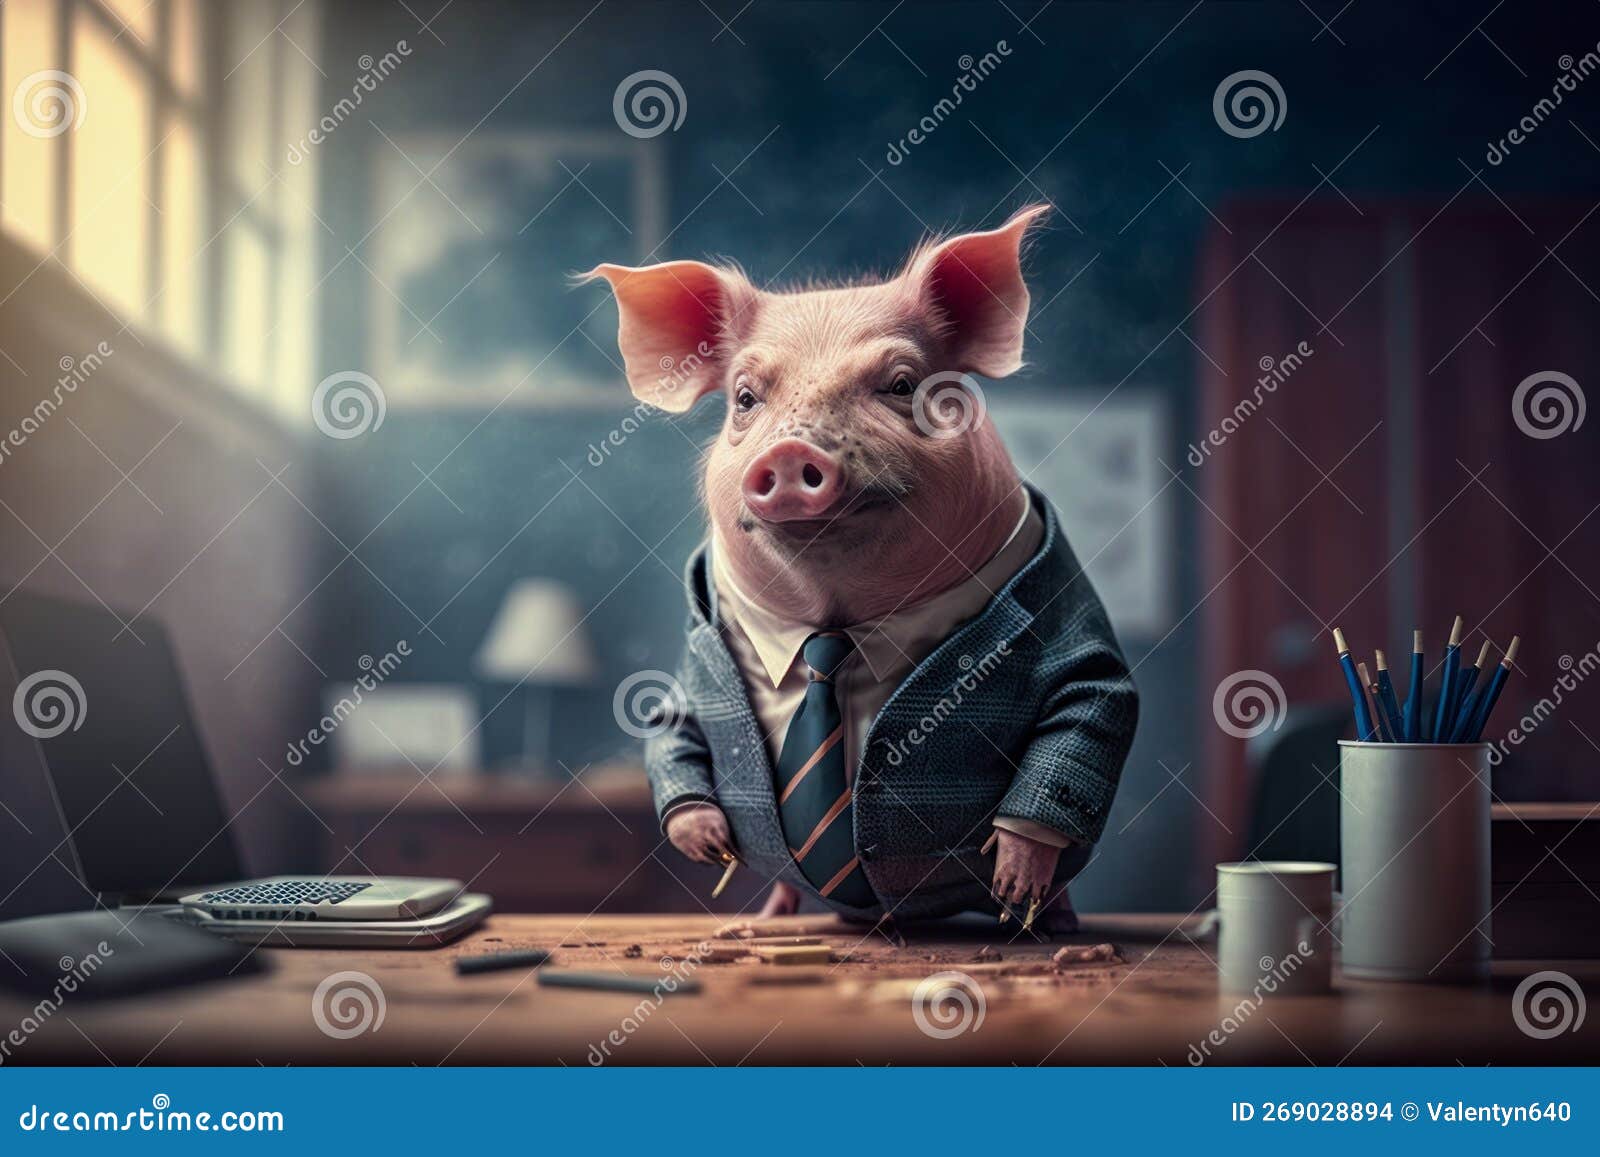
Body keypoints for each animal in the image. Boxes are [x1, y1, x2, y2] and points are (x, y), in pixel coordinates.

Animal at [586, 205, 1138, 930]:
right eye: (745, 398)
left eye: (902, 384)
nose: (790, 452)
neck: (836, 622)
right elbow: (674, 725)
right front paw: (709, 847)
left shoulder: (1071, 632)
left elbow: (1086, 707)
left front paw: (1013, 881)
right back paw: (771, 916)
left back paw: (1047, 923)